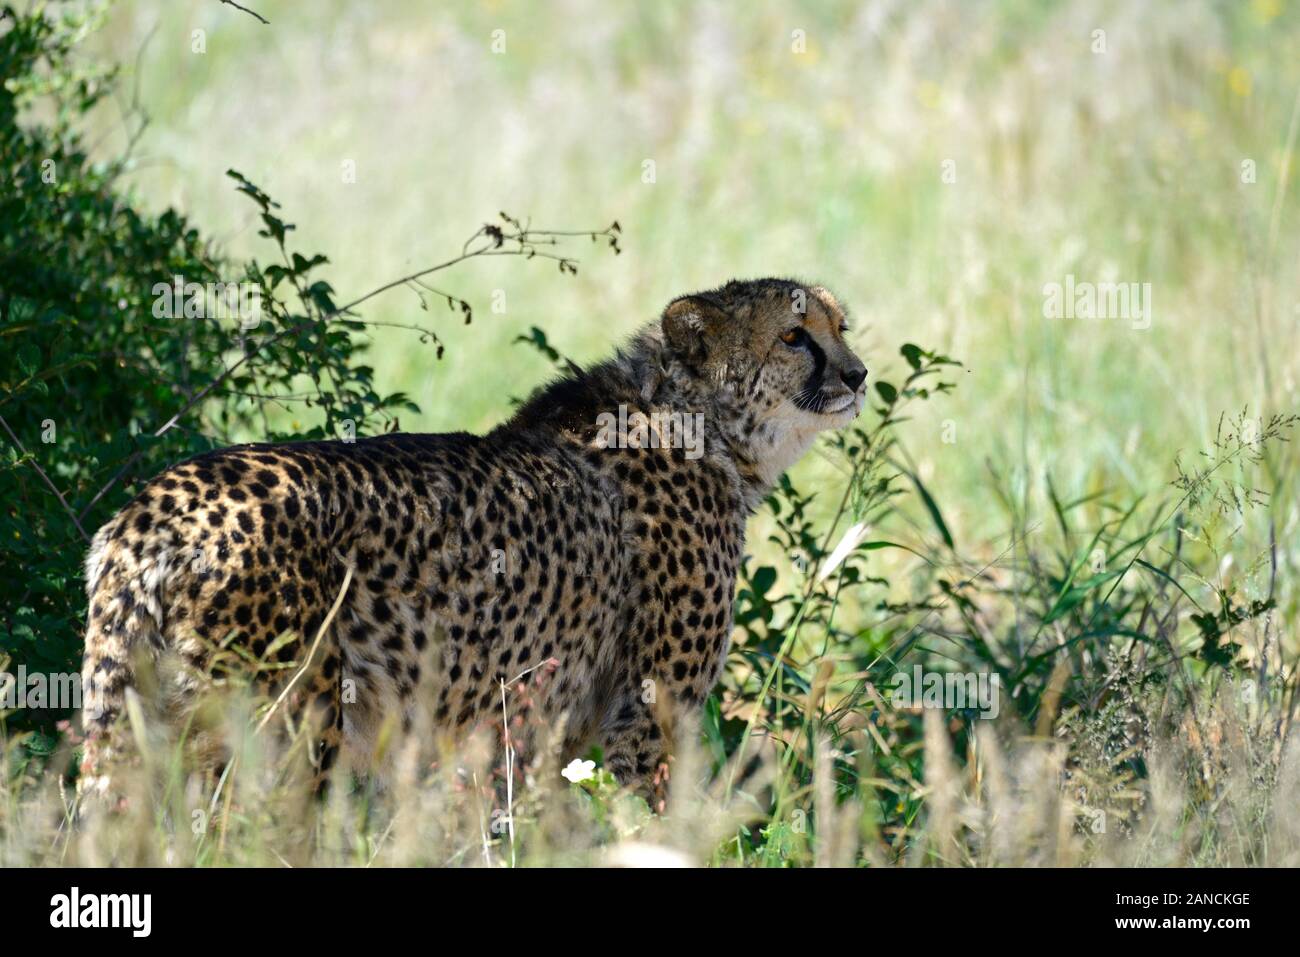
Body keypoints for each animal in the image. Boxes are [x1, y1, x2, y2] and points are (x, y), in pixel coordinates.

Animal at [79, 277, 868, 802]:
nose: (859, 375)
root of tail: (156, 504)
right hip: (282, 725)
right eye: (794, 336)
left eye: (843, 327)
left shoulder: (549, 727)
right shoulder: (646, 713)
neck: (700, 420)